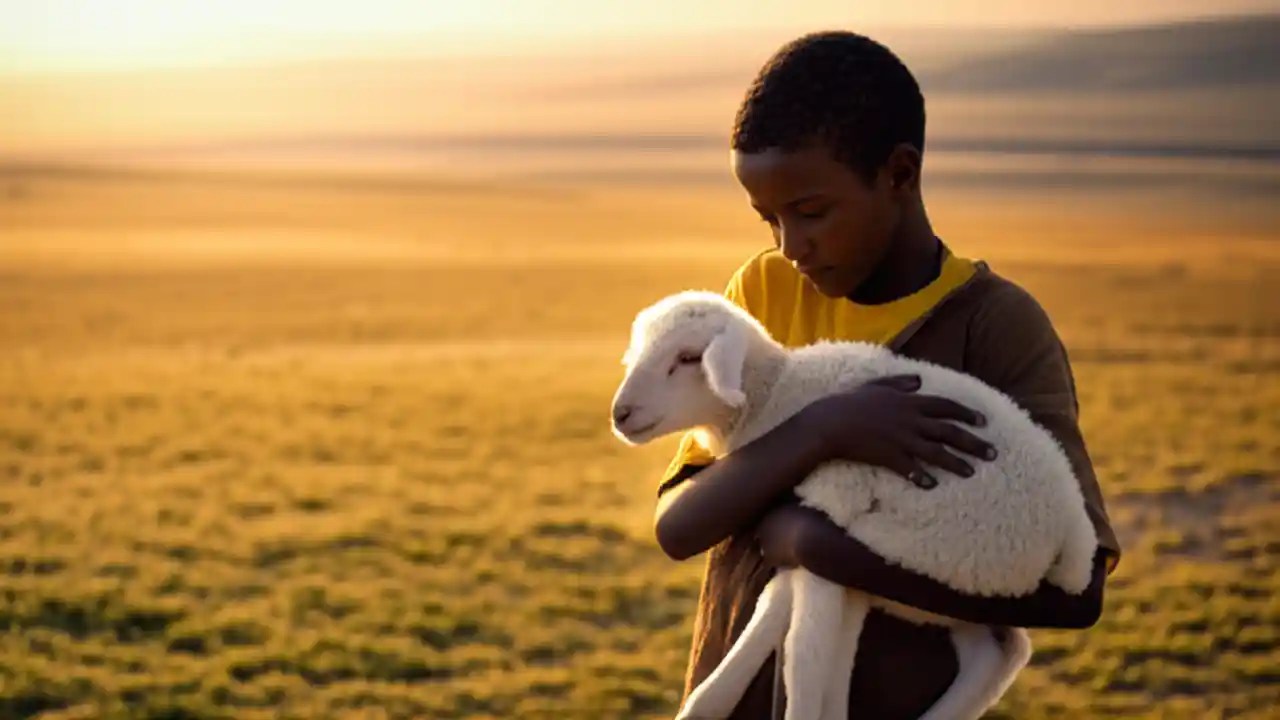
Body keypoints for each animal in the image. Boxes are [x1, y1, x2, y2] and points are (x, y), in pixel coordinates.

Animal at [610, 290, 1099, 720]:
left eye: (688, 358)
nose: (621, 414)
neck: (779, 396)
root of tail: (1076, 534)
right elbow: (786, 613)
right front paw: (707, 704)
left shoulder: (828, 505)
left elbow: (804, 656)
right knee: (997, 651)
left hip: (933, 553)